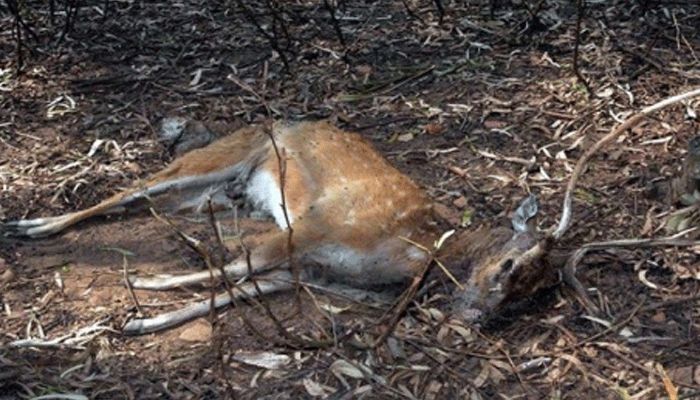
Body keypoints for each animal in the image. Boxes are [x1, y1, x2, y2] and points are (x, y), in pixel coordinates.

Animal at [1, 121, 552, 334]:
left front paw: (141, 319)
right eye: (508, 265)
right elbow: (229, 271)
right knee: (127, 191)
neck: (415, 251)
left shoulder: (305, 270)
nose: (481, 319)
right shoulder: (308, 229)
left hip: (213, 192)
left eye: (530, 294)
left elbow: (237, 288)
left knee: (155, 203)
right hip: (210, 160)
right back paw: (29, 224)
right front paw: (143, 286)